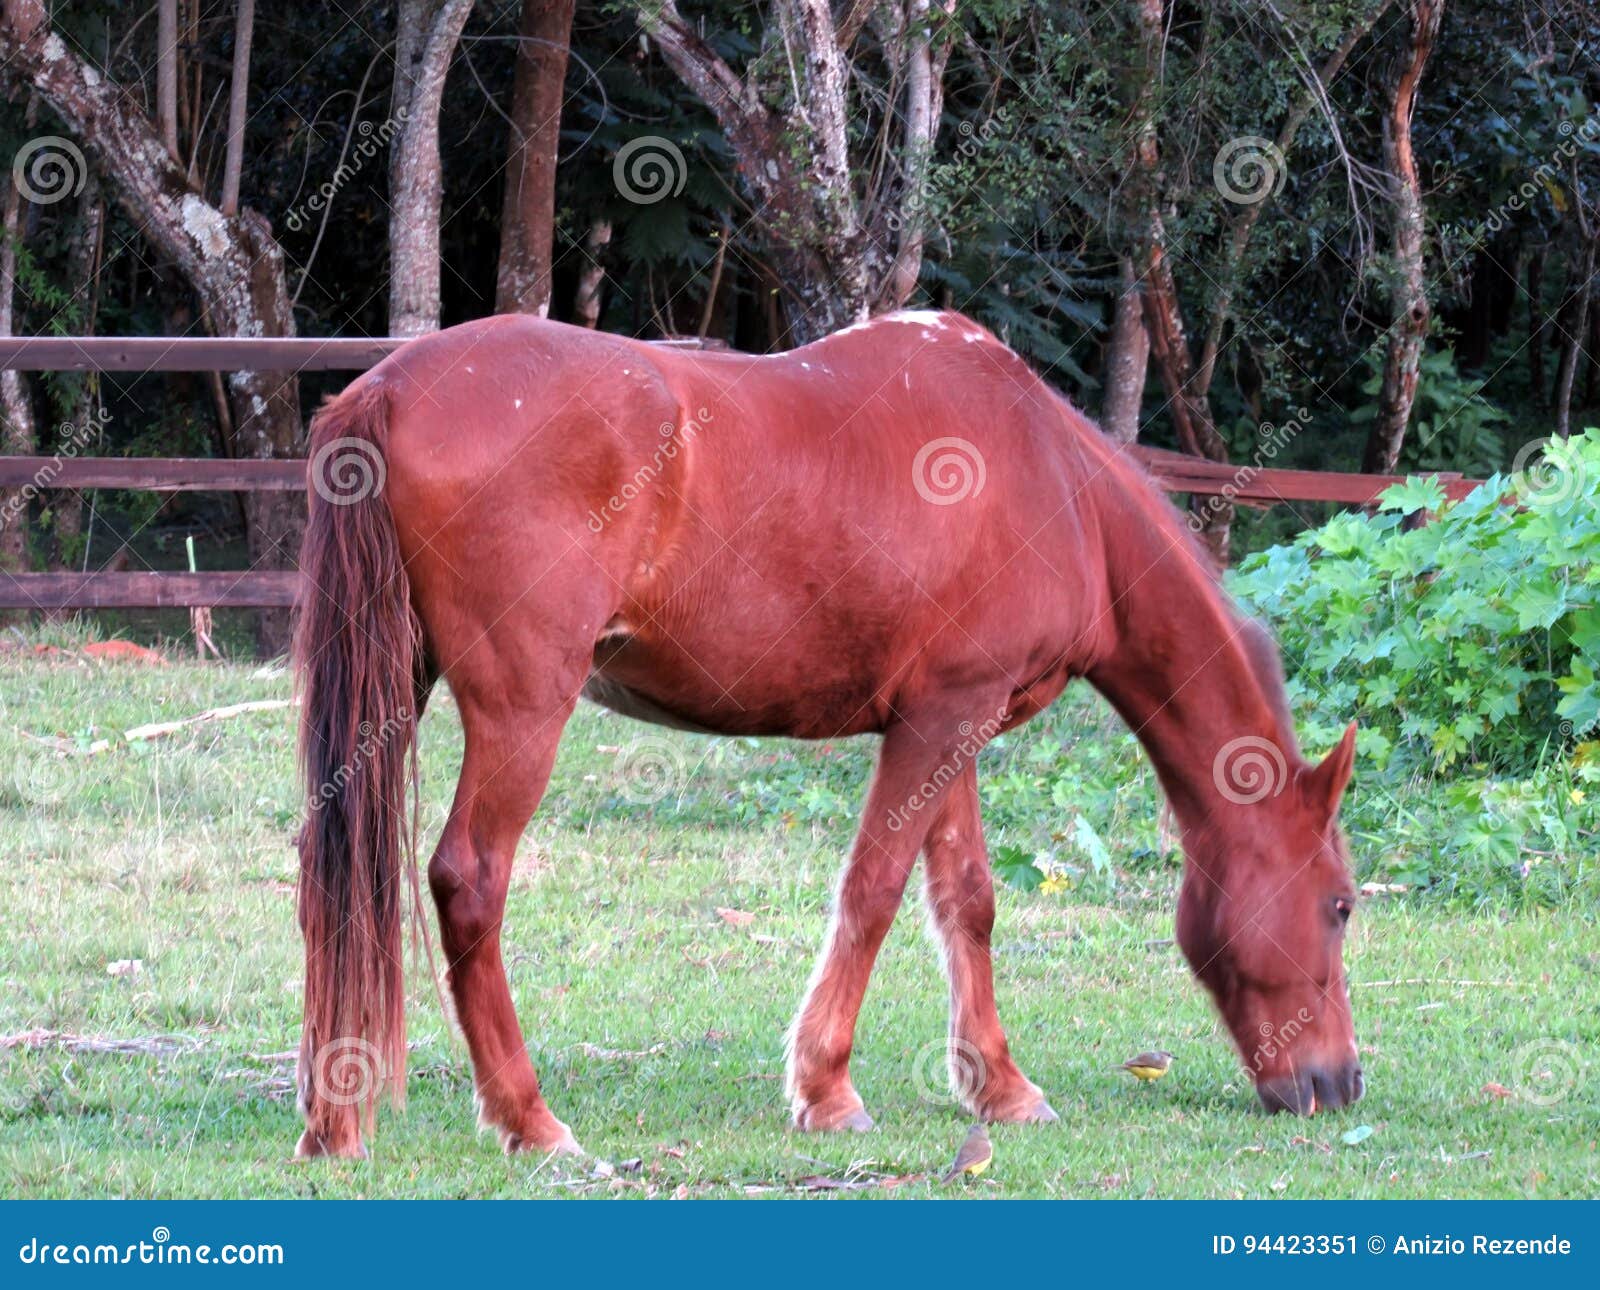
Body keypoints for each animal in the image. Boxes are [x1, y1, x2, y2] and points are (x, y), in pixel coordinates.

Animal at [292, 309, 1363, 1159]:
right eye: (1343, 905)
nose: (1339, 1083)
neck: (1053, 479)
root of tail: (386, 387)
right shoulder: (937, 723)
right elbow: (875, 891)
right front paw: (827, 1089)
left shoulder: (955, 723)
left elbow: (966, 900)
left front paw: (1001, 1088)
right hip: (522, 709)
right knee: (469, 880)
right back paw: (530, 1119)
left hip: (393, 690)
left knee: (330, 872)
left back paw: (332, 1120)